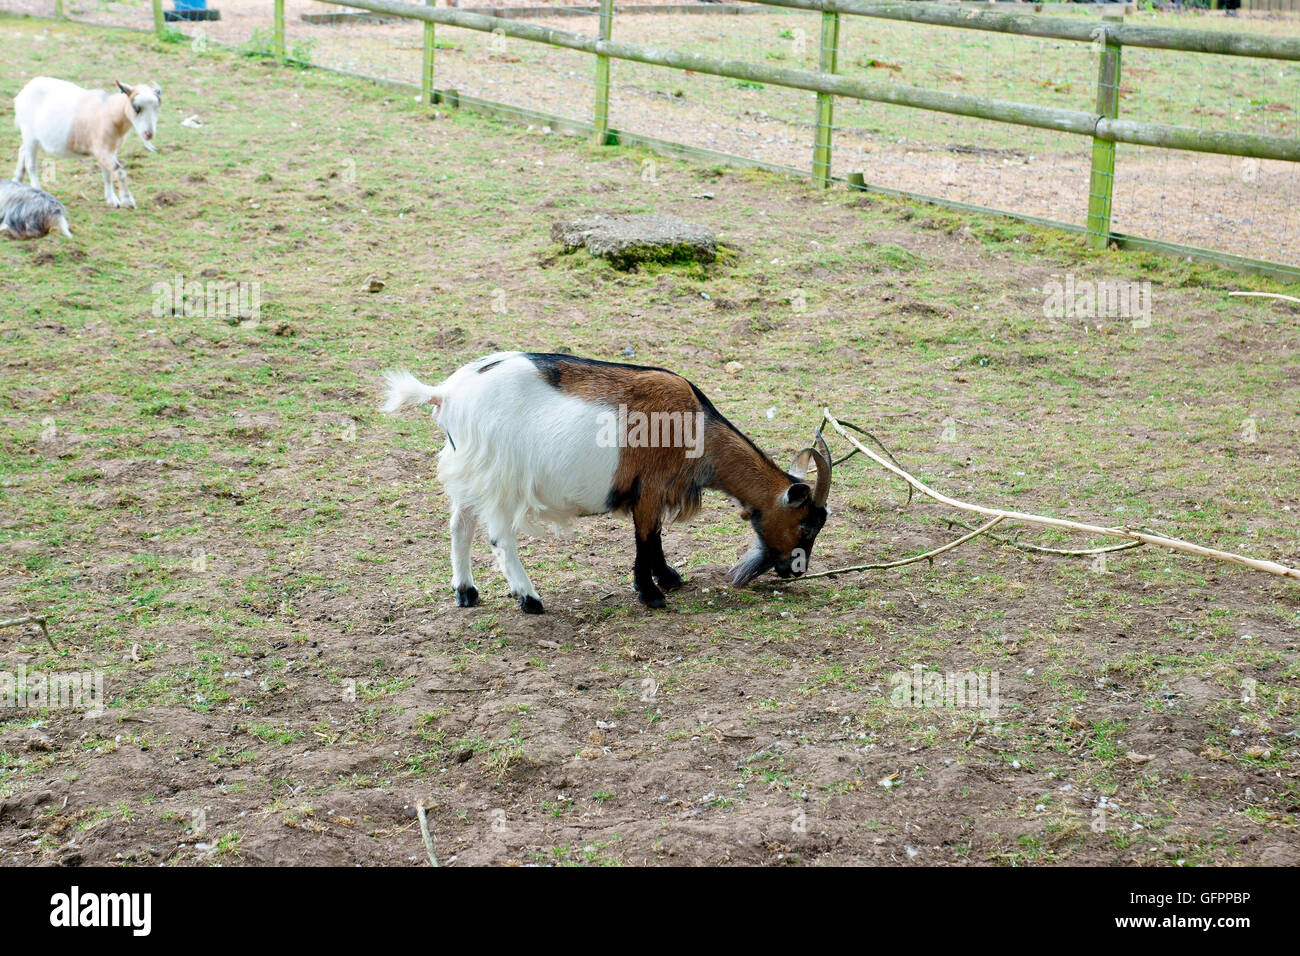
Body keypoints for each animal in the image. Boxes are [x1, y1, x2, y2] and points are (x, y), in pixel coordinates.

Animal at [13, 77, 162, 209]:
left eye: (157, 108)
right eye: (136, 107)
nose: (149, 134)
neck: (112, 113)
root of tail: (24, 90)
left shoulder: (110, 149)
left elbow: (107, 174)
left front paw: (112, 199)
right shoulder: (102, 148)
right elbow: (118, 171)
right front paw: (128, 201)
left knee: (22, 150)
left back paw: (17, 180)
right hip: (29, 133)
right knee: (31, 164)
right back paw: (37, 190)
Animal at [381, 352, 831, 613]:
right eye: (807, 525)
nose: (795, 572)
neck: (696, 428)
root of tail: (446, 394)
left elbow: (656, 539)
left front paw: (669, 579)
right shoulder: (649, 489)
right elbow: (646, 539)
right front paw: (651, 594)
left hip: (470, 472)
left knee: (460, 525)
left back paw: (466, 593)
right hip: (501, 476)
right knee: (499, 538)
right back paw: (529, 599)